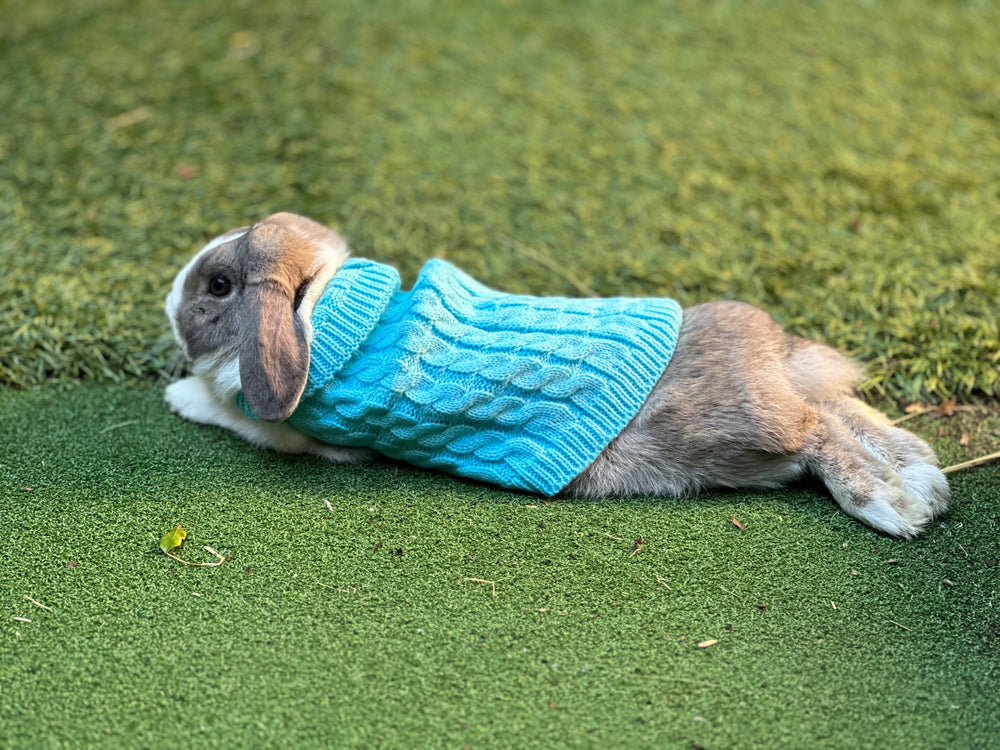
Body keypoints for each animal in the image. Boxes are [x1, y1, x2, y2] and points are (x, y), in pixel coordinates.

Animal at [165, 212, 949, 538]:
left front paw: (179, 395)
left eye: (219, 286)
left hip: (738, 431)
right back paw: (924, 479)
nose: (168, 302)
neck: (321, 306)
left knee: (817, 430)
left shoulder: (311, 436)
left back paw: (894, 506)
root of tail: (768, 346)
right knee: (841, 409)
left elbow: (233, 413)